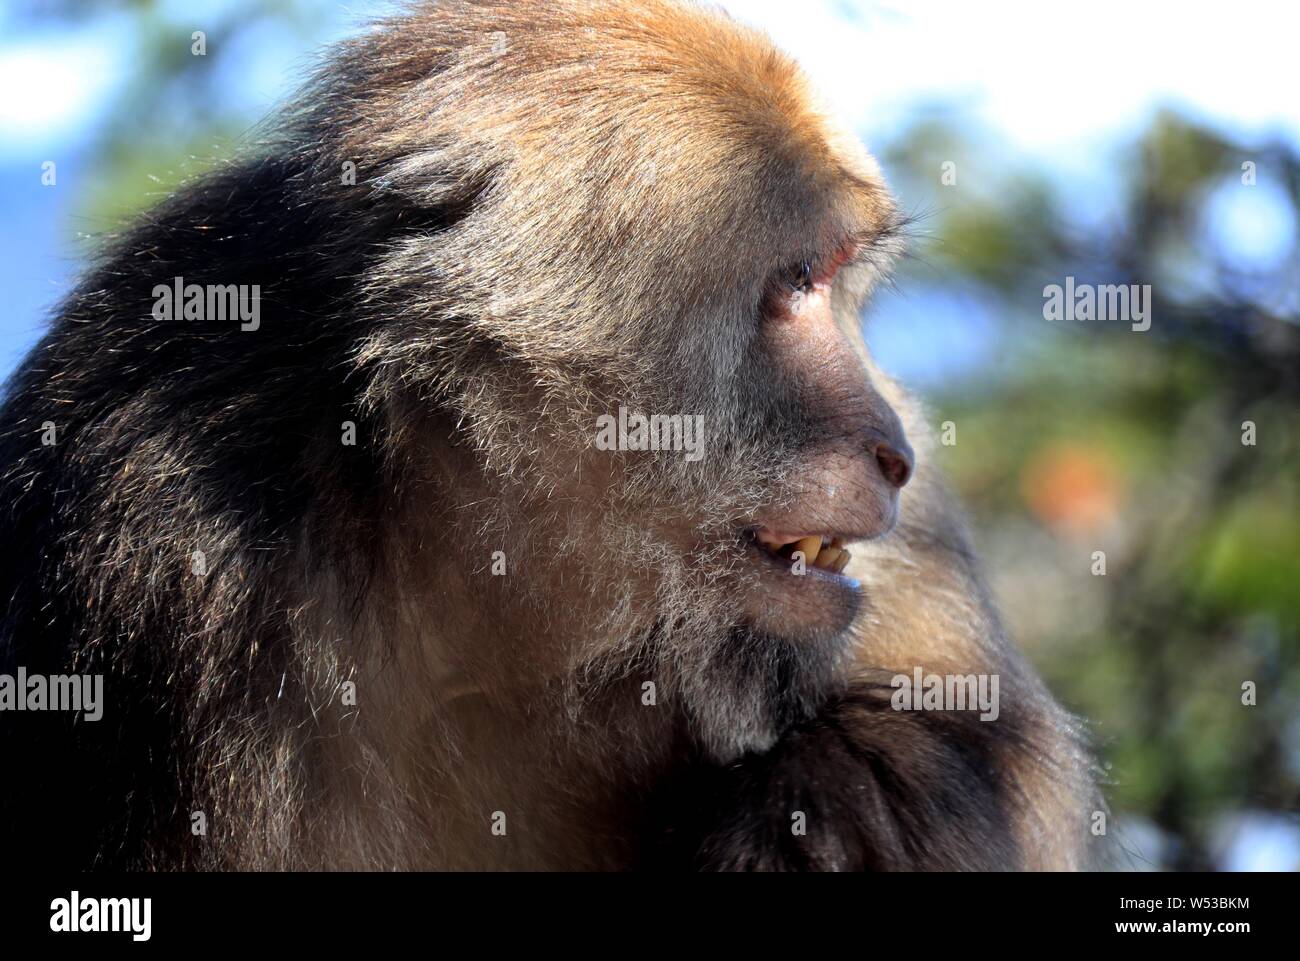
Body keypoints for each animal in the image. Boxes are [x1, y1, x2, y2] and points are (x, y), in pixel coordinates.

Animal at [0, 0, 1100, 871]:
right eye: (795, 280)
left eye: (835, 280)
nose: (894, 447)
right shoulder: (162, 551)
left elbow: (981, 742)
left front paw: (820, 801)